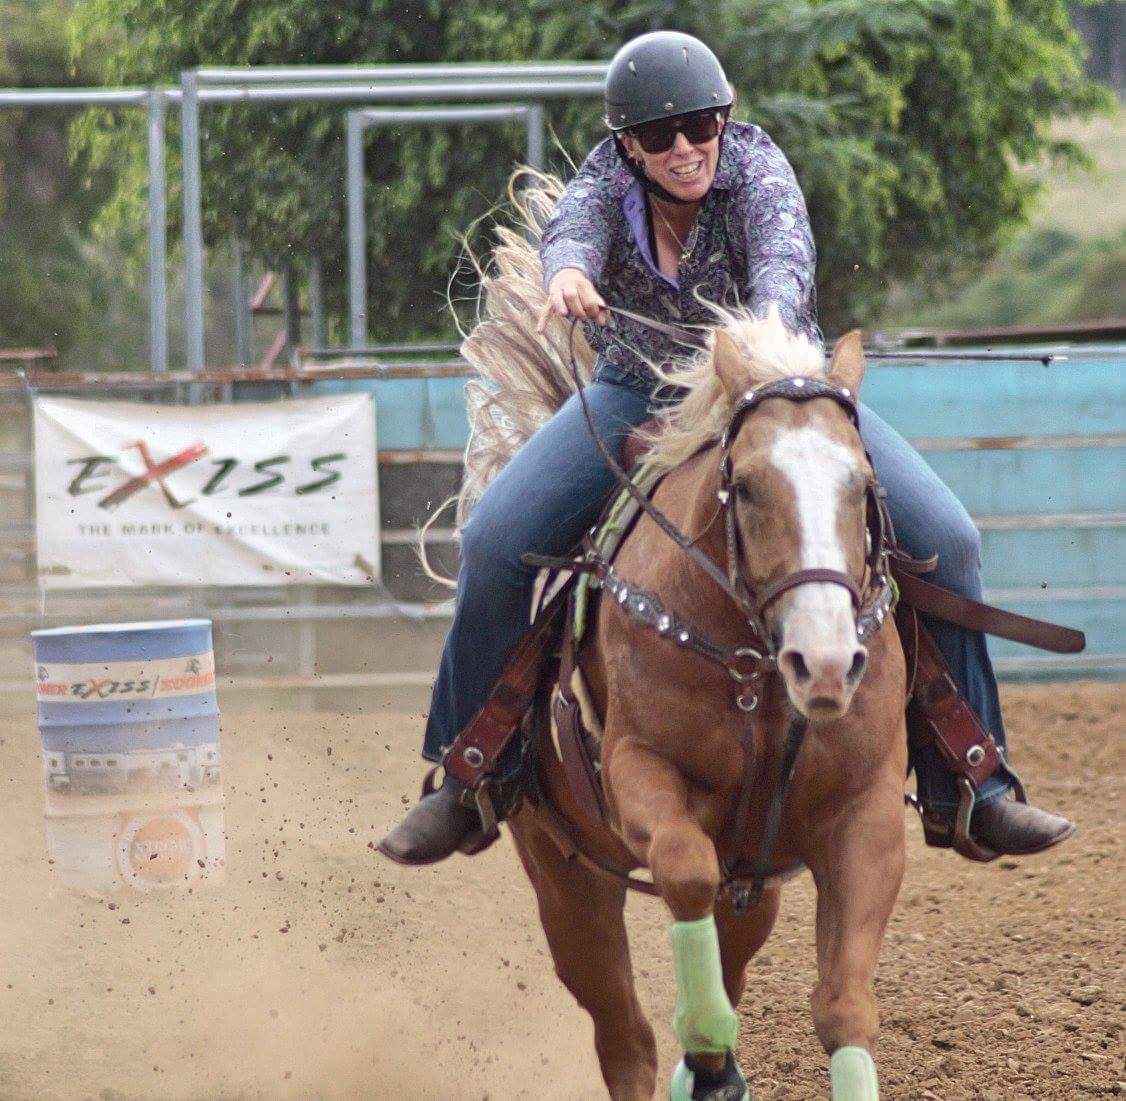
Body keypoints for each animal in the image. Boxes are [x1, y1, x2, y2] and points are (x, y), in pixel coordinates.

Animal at [453, 176, 908, 1101]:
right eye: (747, 484)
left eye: (863, 482)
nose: (826, 664)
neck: (759, 670)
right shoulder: (640, 773)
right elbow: (683, 869)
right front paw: (703, 1040)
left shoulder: (867, 812)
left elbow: (844, 1005)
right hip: (564, 877)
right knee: (621, 1031)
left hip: (755, 887)